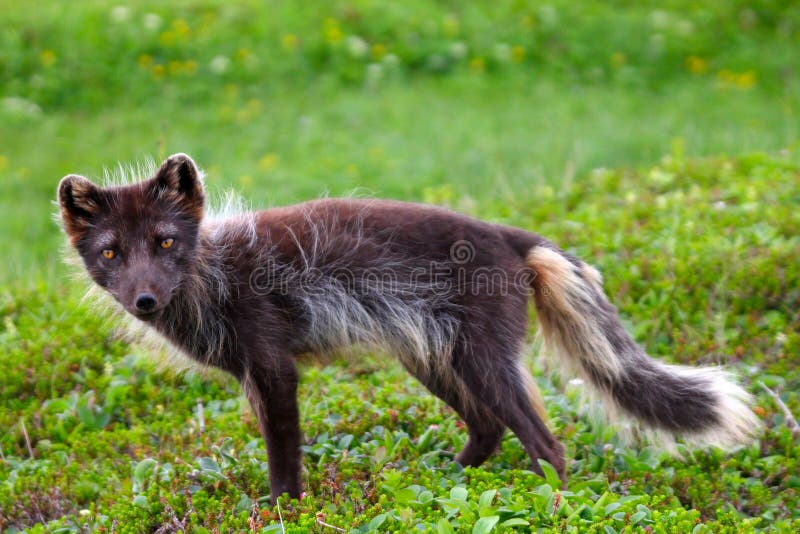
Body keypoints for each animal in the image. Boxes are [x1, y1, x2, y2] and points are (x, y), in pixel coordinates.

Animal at [57, 153, 758, 504]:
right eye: (111, 253)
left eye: (165, 241)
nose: (145, 301)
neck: (215, 276)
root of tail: (510, 235)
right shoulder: (251, 377)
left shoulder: (274, 368)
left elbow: (284, 459)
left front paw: (286, 512)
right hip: (430, 357)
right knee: (490, 429)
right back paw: (443, 482)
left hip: (480, 360)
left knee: (546, 444)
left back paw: (553, 508)